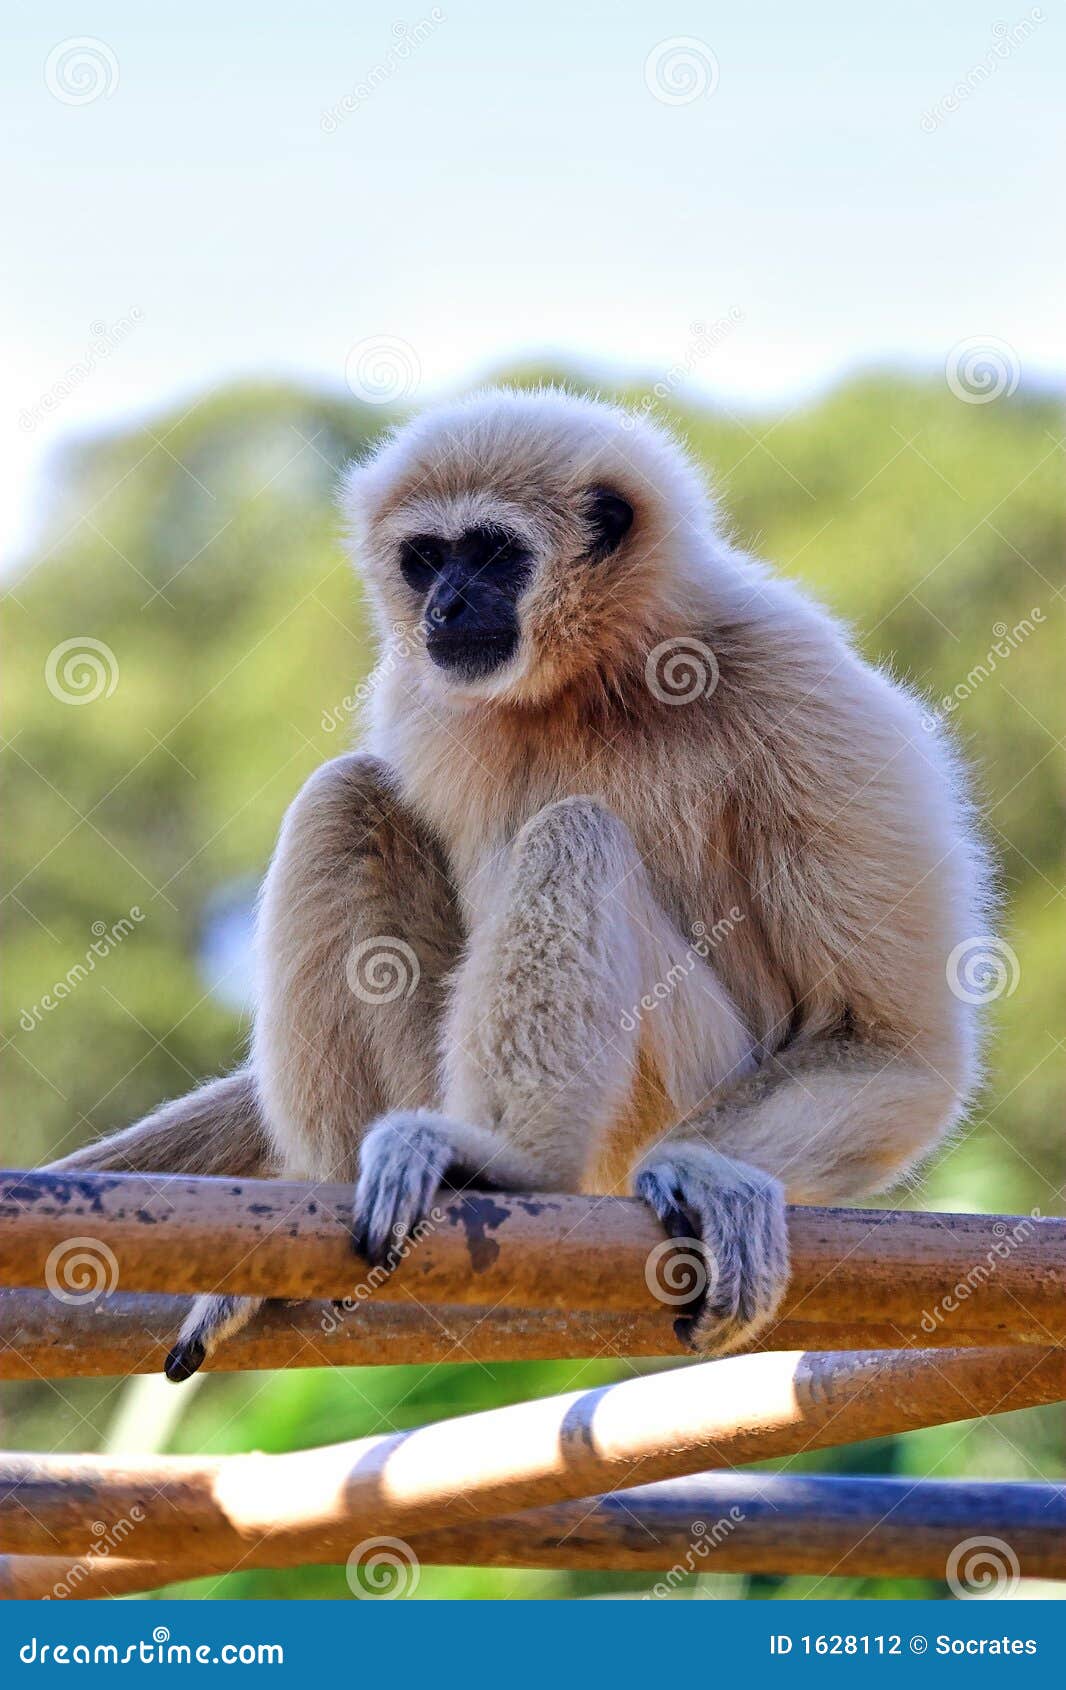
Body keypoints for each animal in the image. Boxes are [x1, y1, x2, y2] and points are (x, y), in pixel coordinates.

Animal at [47, 386, 988, 1381]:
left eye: (492, 553)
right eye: (425, 559)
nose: (445, 604)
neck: (595, 680)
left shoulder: (811, 696)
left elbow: (889, 1048)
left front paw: (711, 1174)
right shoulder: (418, 698)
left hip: (663, 1102)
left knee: (572, 835)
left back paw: (500, 1163)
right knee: (349, 799)